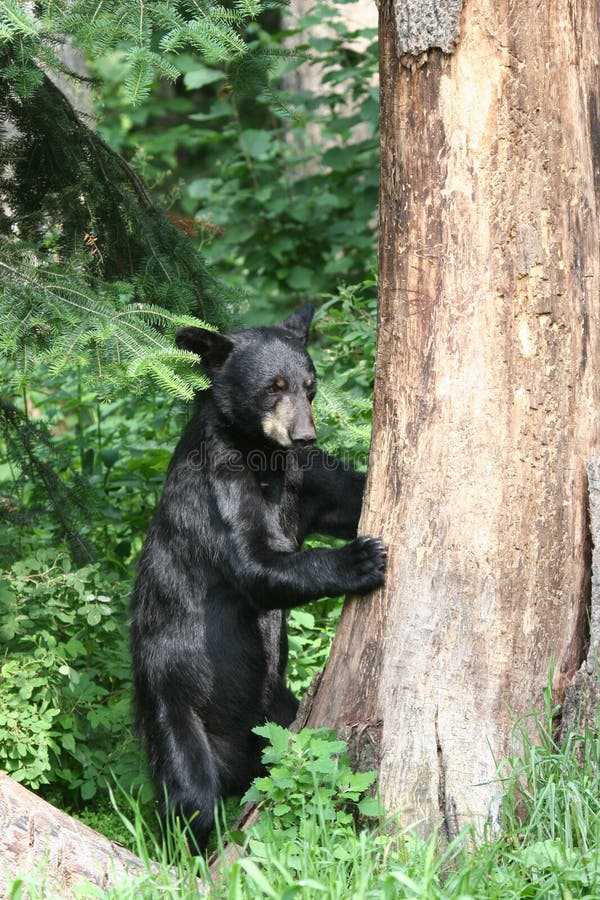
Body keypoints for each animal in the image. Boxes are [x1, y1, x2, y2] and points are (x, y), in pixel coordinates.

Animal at [129, 305, 386, 852]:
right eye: (273, 386)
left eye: (311, 387)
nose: (305, 434)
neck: (262, 453)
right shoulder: (218, 485)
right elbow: (255, 563)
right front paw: (359, 559)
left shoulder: (302, 479)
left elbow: (347, 495)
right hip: (173, 710)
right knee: (190, 798)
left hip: (282, 713)